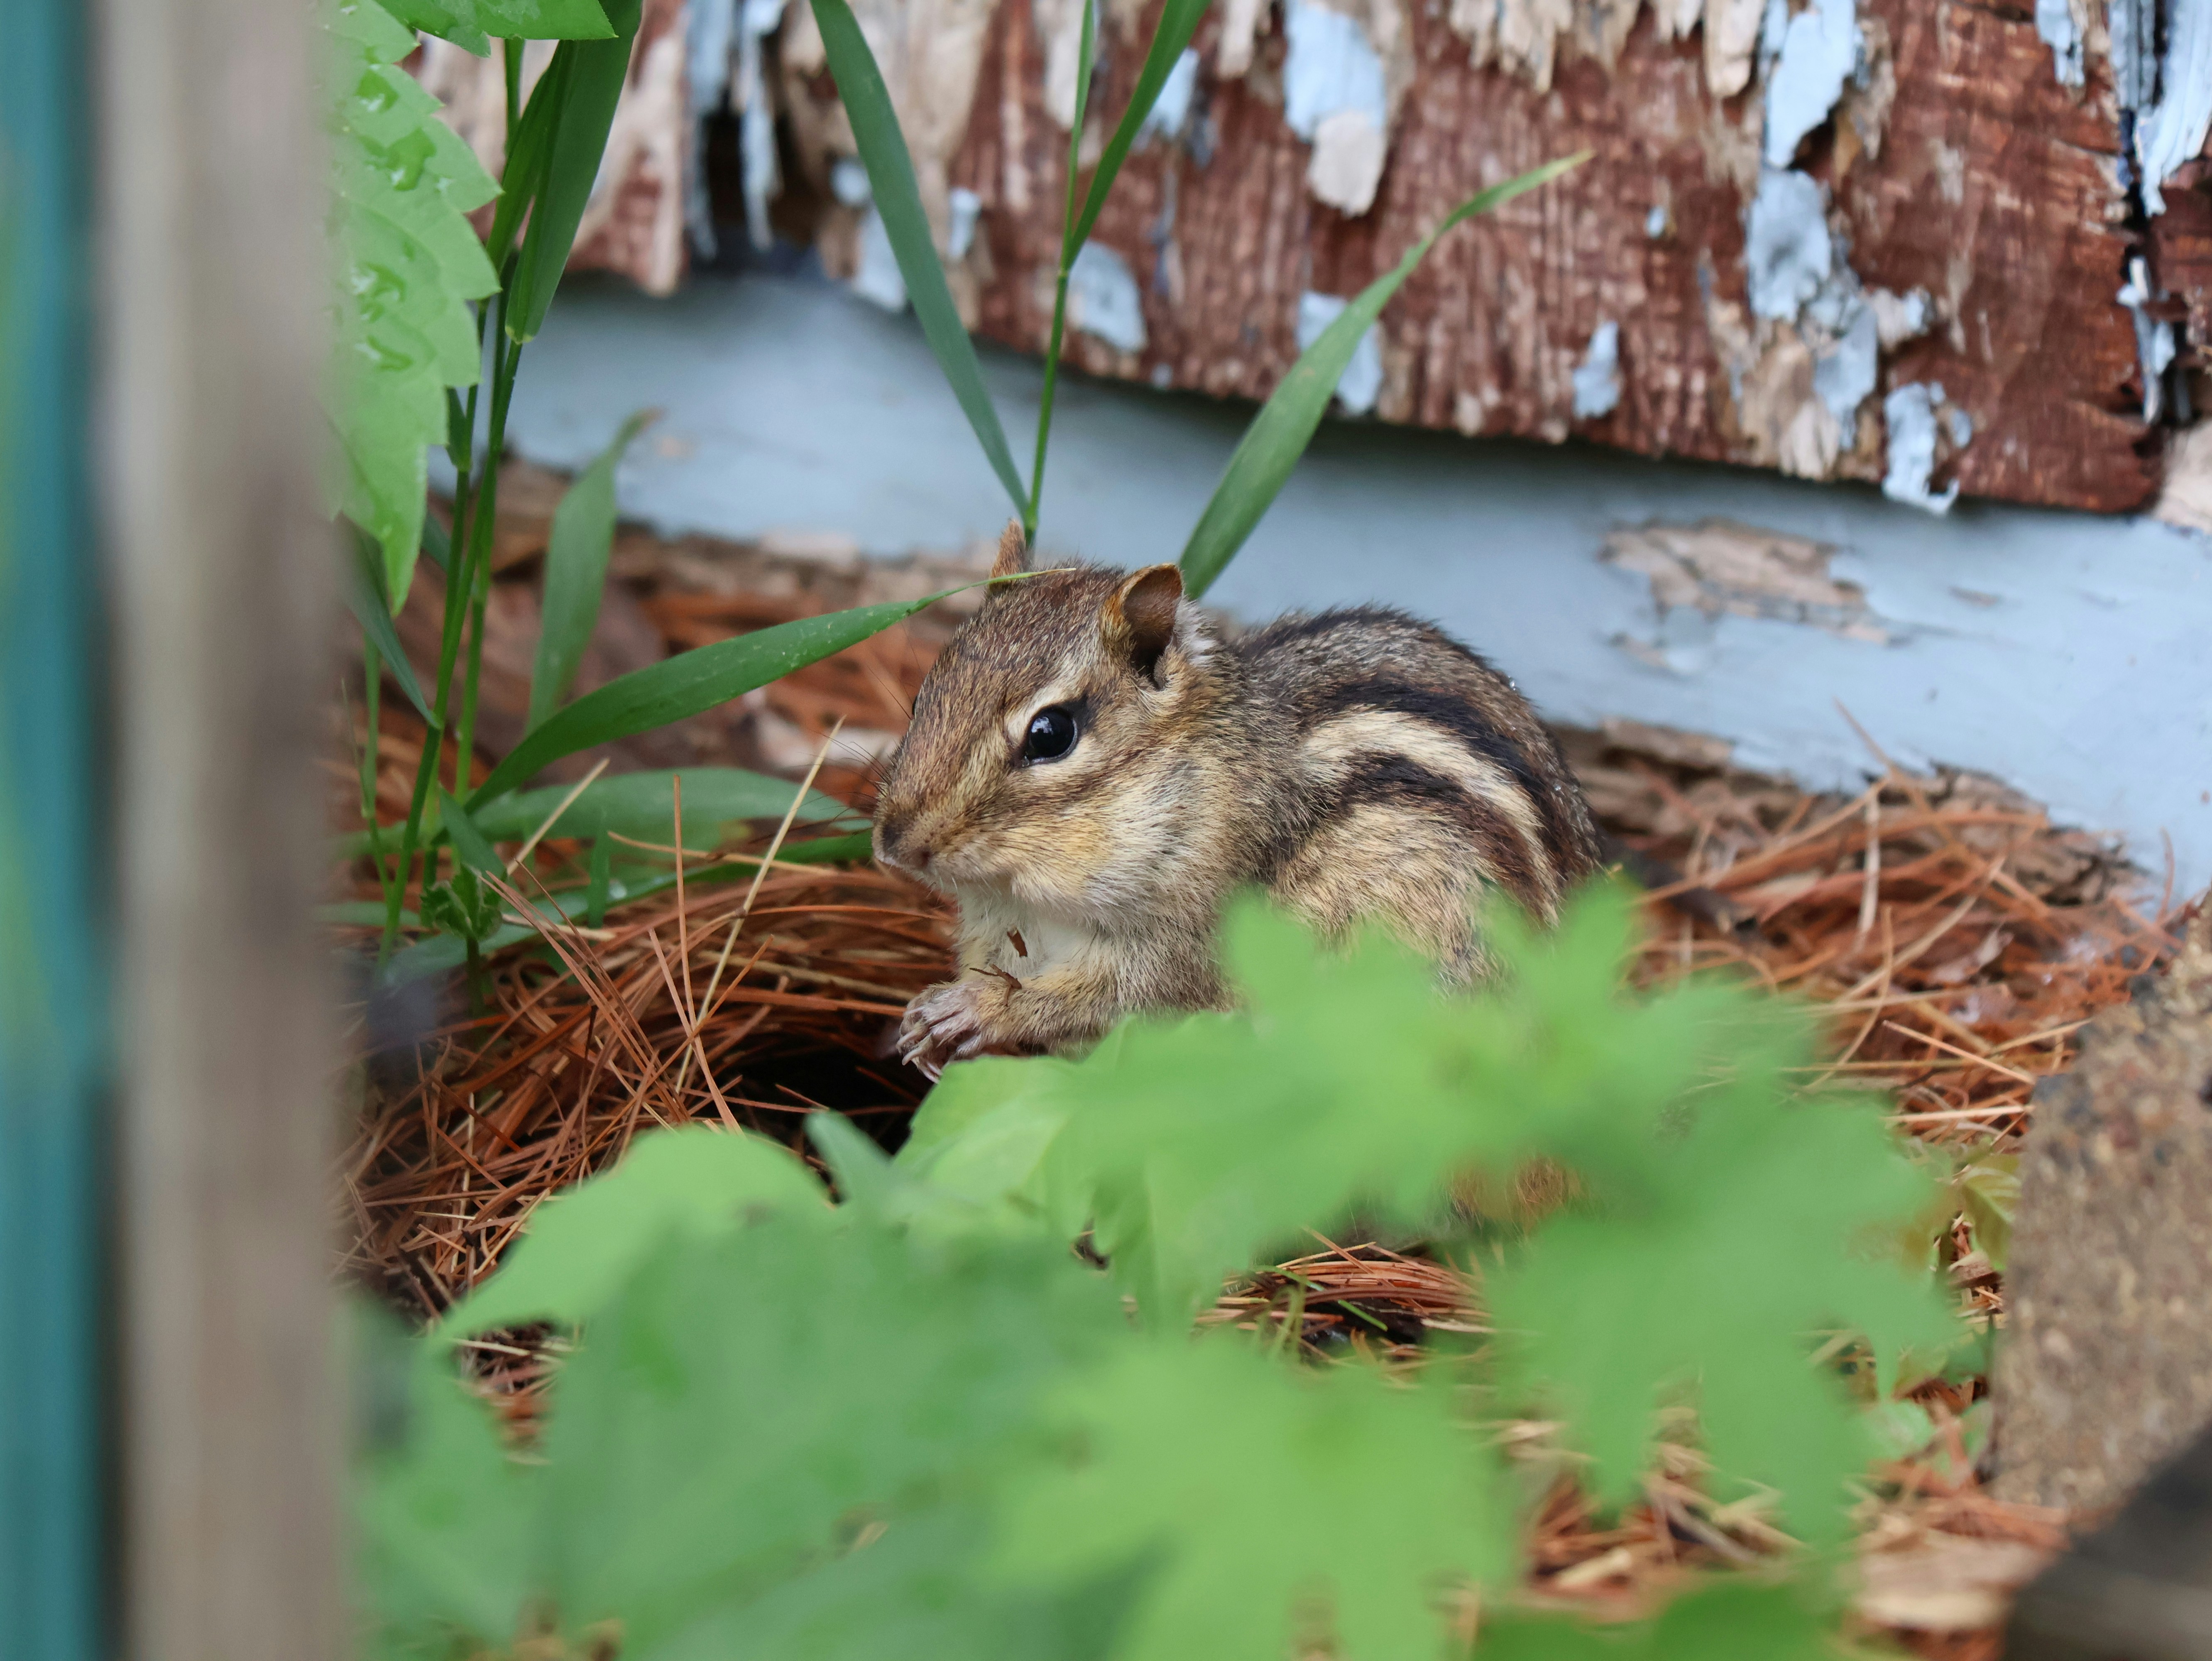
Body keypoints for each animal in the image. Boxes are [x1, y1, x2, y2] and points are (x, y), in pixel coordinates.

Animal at [872, 523, 1604, 1077]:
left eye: (1051, 734)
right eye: (925, 694)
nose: (893, 844)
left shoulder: (1194, 935)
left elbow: (1117, 996)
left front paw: (979, 1011)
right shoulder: (994, 929)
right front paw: (922, 1025)